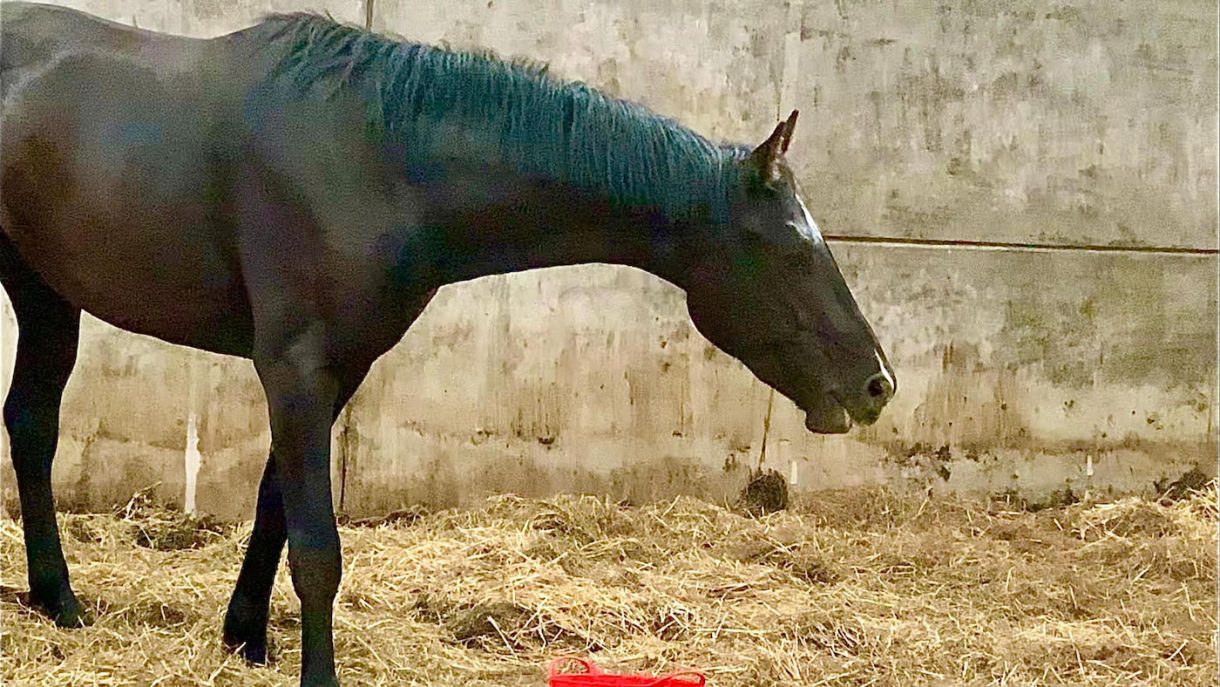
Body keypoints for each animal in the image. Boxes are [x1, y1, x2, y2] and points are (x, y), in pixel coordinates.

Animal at [0, 3, 896, 684]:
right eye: (793, 250)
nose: (877, 383)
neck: (380, 157)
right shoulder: (293, 368)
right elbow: (316, 548)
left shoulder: (336, 370)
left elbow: (274, 508)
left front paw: (246, 637)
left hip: (45, 293)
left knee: (32, 425)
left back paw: (59, 601)